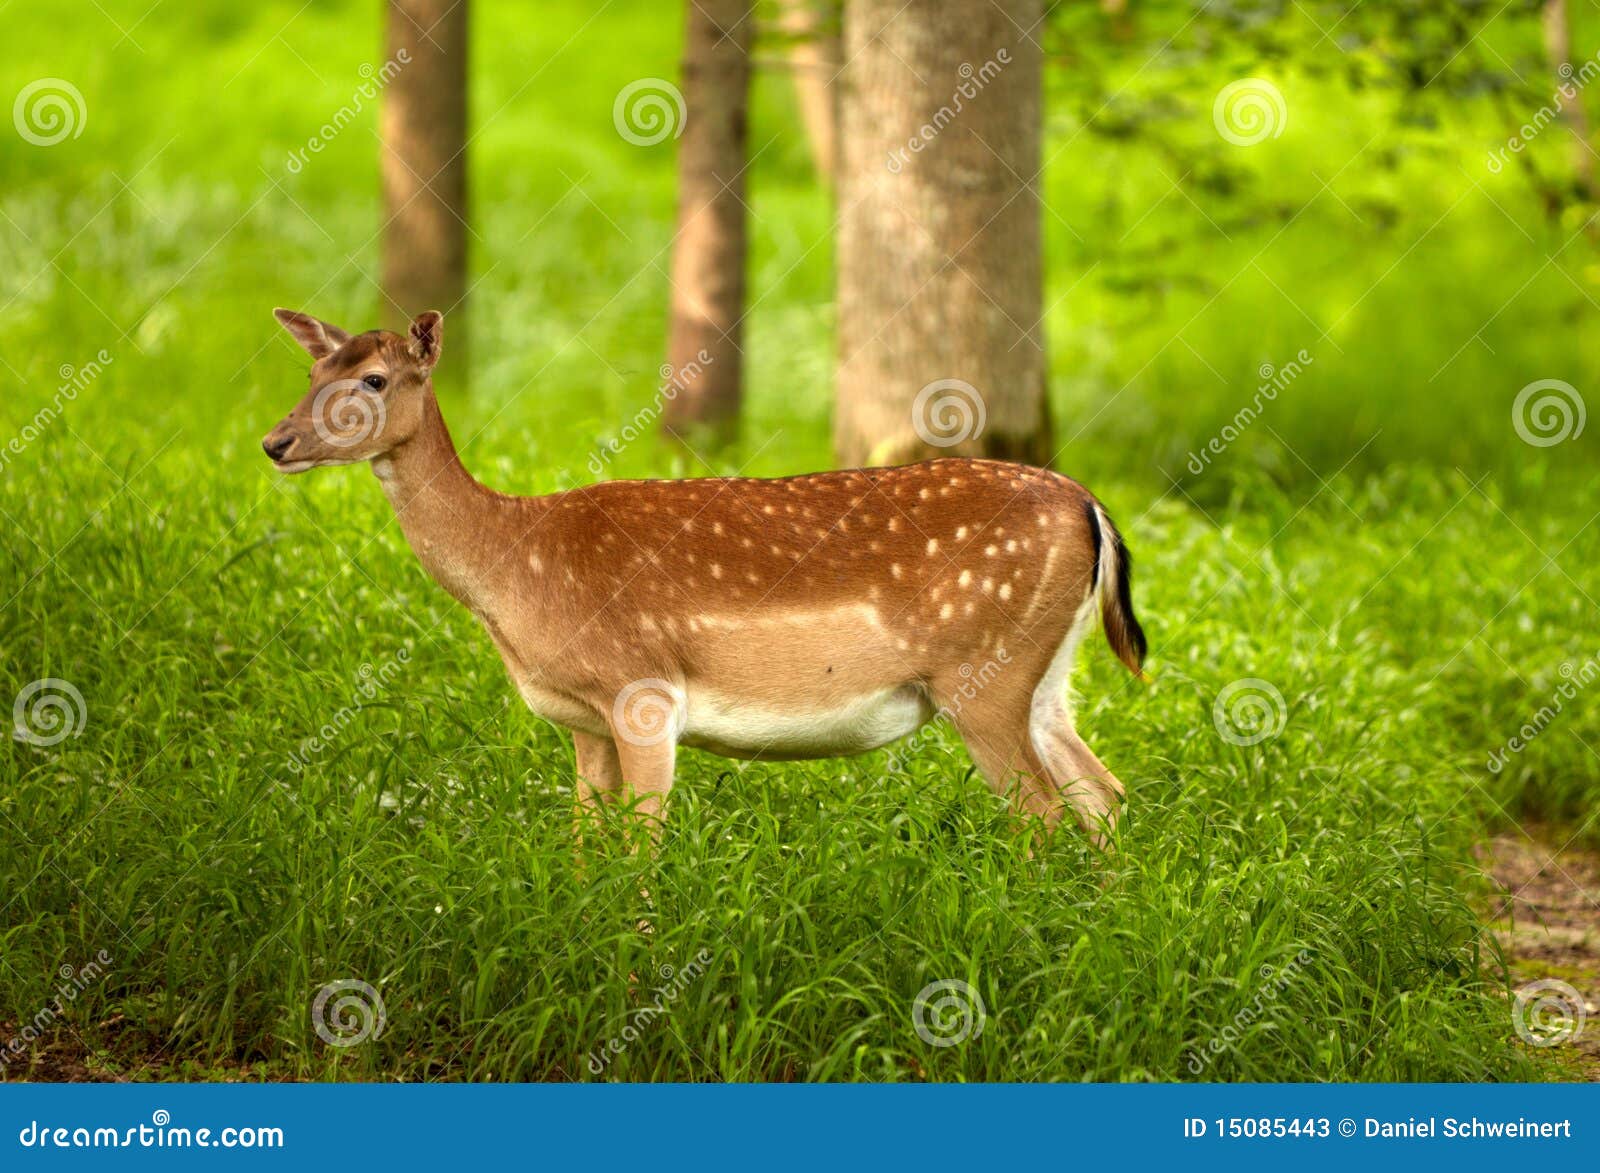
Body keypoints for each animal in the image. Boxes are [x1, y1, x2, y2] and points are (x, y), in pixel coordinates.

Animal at [262, 309, 1148, 848]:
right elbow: (584, 847)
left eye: (375, 378)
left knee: (1043, 814)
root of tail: (1089, 506)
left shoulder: (643, 690)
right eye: (311, 374)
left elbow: (642, 850)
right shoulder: (584, 721)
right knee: (1101, 792)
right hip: (1043, 673)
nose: (276, 441)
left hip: (981, 672)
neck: (516, 564)